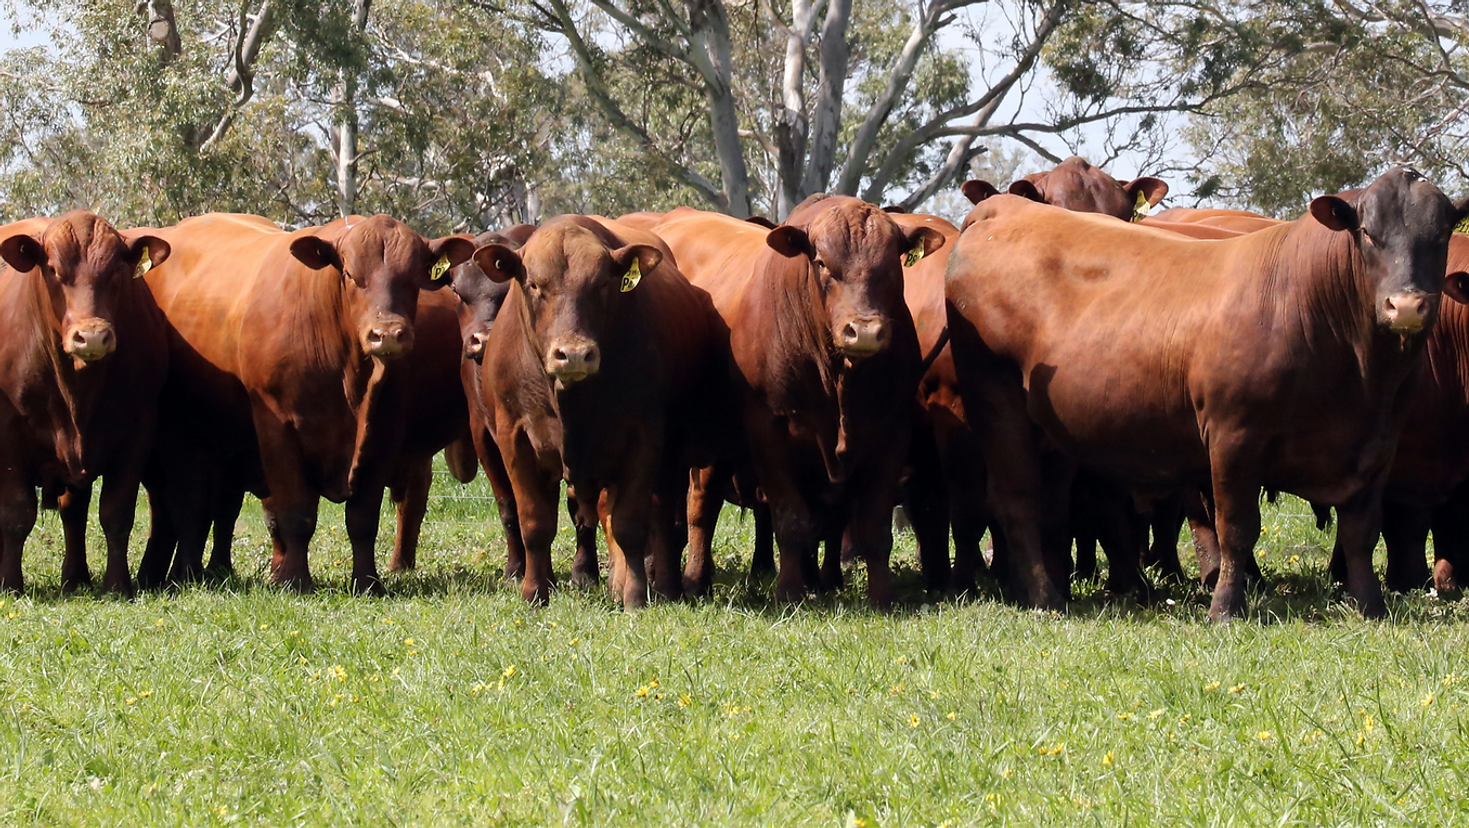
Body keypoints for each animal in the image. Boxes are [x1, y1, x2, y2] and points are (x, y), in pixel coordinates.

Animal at [0, 211, 171, 594]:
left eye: (116, 271)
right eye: (52, 269)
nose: (92, 336)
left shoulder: (137, 434)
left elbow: (116, 514)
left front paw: (117, 585)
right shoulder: (9, 438)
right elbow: (16, 515)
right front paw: (10, 585)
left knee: (74, 511)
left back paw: (75, 577)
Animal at [134, 212, 474, 594]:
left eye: (415, 276)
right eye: (350, 274)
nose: (387, 334)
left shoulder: (383, 430)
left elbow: (363, 519)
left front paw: (367, 582)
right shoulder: (277, 427)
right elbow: (295, 512)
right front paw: (294, 580)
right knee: (190, 506)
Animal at [473, 215, 733, 607]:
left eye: (602, 284)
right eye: (534, 285)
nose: (574, 354)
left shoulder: (644, 438)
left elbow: (630, 525)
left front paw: (636, 597)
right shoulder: (513, 439)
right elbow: (535, 523)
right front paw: (534, 593)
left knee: (660, 519)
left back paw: (663, 586)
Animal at [649, 196, 944, 608]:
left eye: (892, 262)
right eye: (821, 262)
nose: (865, 330)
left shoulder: (891, 433)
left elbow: (873, 529)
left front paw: (881, 597)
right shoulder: (769, 430)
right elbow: (789, 520)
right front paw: (789, 591)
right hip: (710, 451)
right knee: (701, 510)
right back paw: (695, 579)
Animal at [944, 167, 1469, 620]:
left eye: (1440, 235)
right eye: (1367, 233)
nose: (1406, 305)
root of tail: (1000, 209)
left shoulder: (1378, 445)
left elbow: (1361, 532)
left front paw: (1370, 607)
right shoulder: (1233, 435)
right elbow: (1236, 529)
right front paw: (1225, 609)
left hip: (1053, 433)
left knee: (1053, 508)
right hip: (999, 405)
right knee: (1017, 501)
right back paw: (1045, 597)